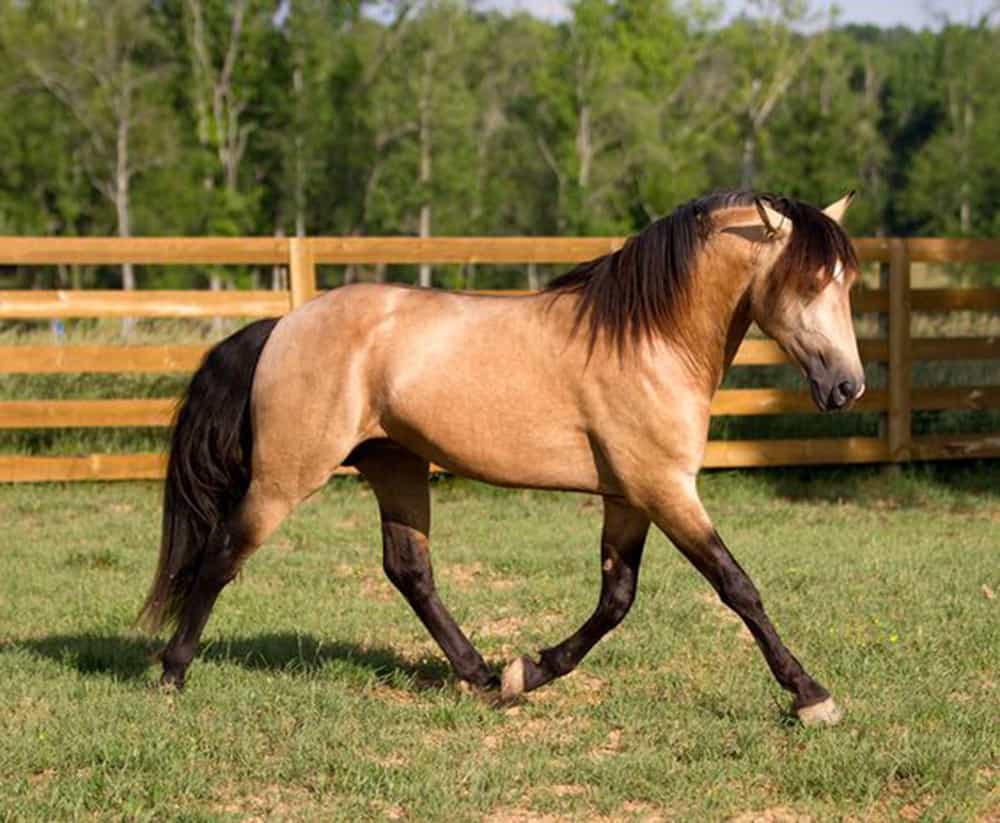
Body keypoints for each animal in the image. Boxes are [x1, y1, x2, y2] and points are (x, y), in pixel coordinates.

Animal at [138, 190, 865, 727]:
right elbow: (736, 585)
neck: (649, 340)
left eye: (848, 283)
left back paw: (482, 675)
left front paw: (528, 672)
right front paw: (811, 695)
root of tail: (282, 326)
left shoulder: (630, 496)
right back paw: (172, 673)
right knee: (223, 554)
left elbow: (616, 598)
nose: (846, 387)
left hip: (396, 465)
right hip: (285, 478)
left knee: (409, 570)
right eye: (807, 281)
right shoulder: (666, 488)